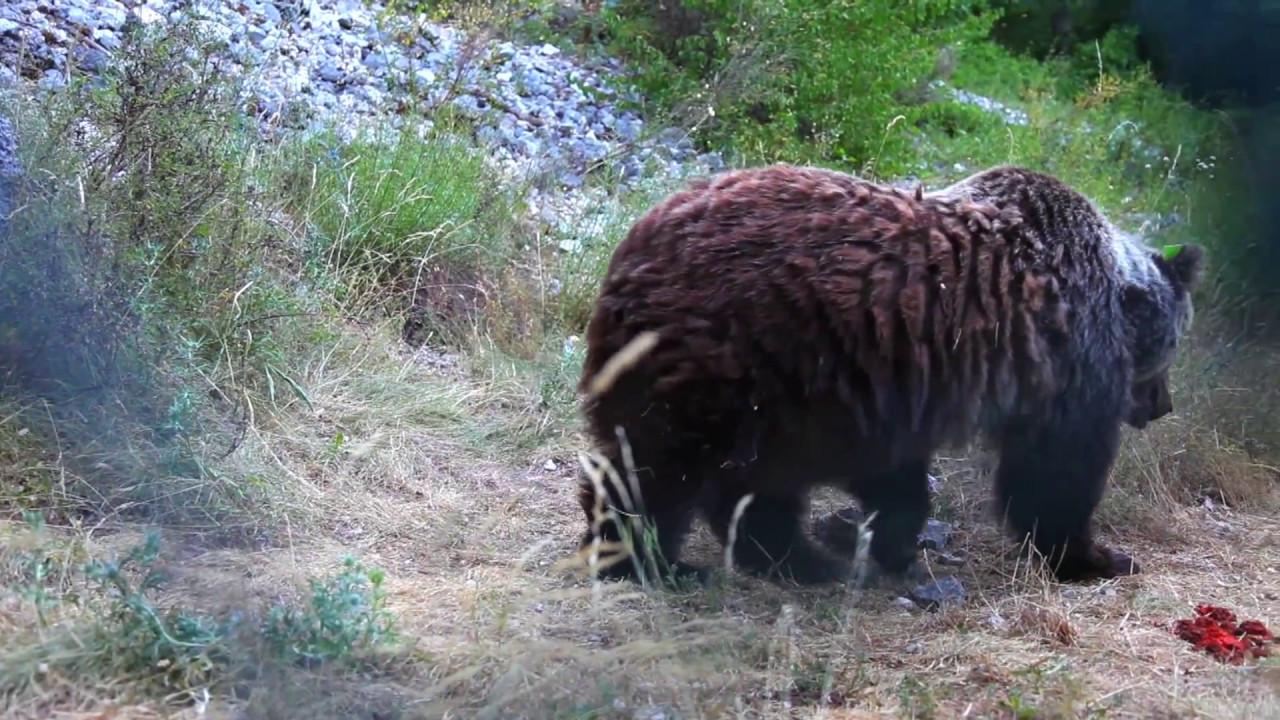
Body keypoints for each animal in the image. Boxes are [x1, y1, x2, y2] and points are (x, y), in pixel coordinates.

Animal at [571, 162, 1205, 588]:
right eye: (1174, 348)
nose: (1163, 405)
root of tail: (628, 252)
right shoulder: (1062, 370)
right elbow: (1055, 473)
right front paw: (1096, 557)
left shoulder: (875, 385)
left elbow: (893, 474)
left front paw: (891, 543)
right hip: (725, 357)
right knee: (658, 467)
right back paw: (652, 560)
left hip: (769, 391)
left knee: (740, 479)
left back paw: (798, 558)